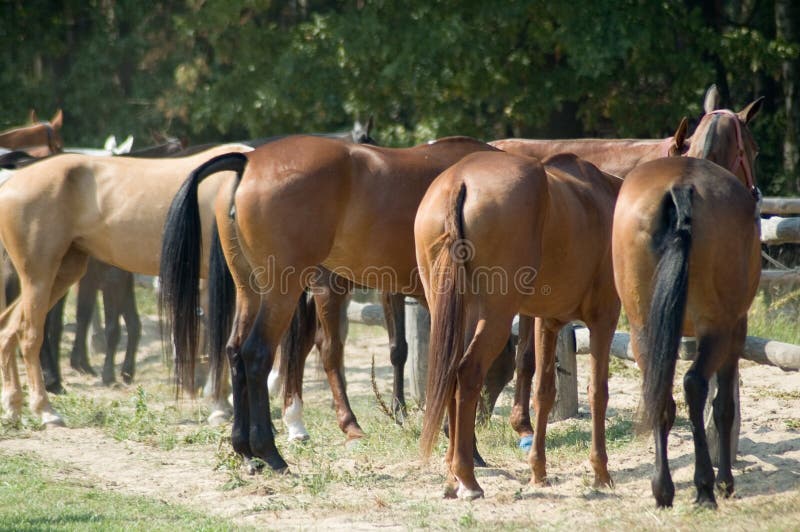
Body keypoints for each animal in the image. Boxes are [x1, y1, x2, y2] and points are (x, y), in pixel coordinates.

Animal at [159, 135, 498, 471]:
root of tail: (249, 161)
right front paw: (467, 447)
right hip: (285, 291)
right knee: (259, 353)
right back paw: (271, 452)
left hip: (251, 290)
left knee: (235, 350)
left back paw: (246, 450)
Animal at [612, 97, 762, 508]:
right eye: (754, 149)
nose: (757, 191)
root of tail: (680, 188)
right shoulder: (736, 329)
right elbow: (723, 407)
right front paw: (723, 480)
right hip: (718, 329)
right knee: (695, 386)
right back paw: (705, 485)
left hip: (642, 328)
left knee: (660, 393)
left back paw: (663, 488)